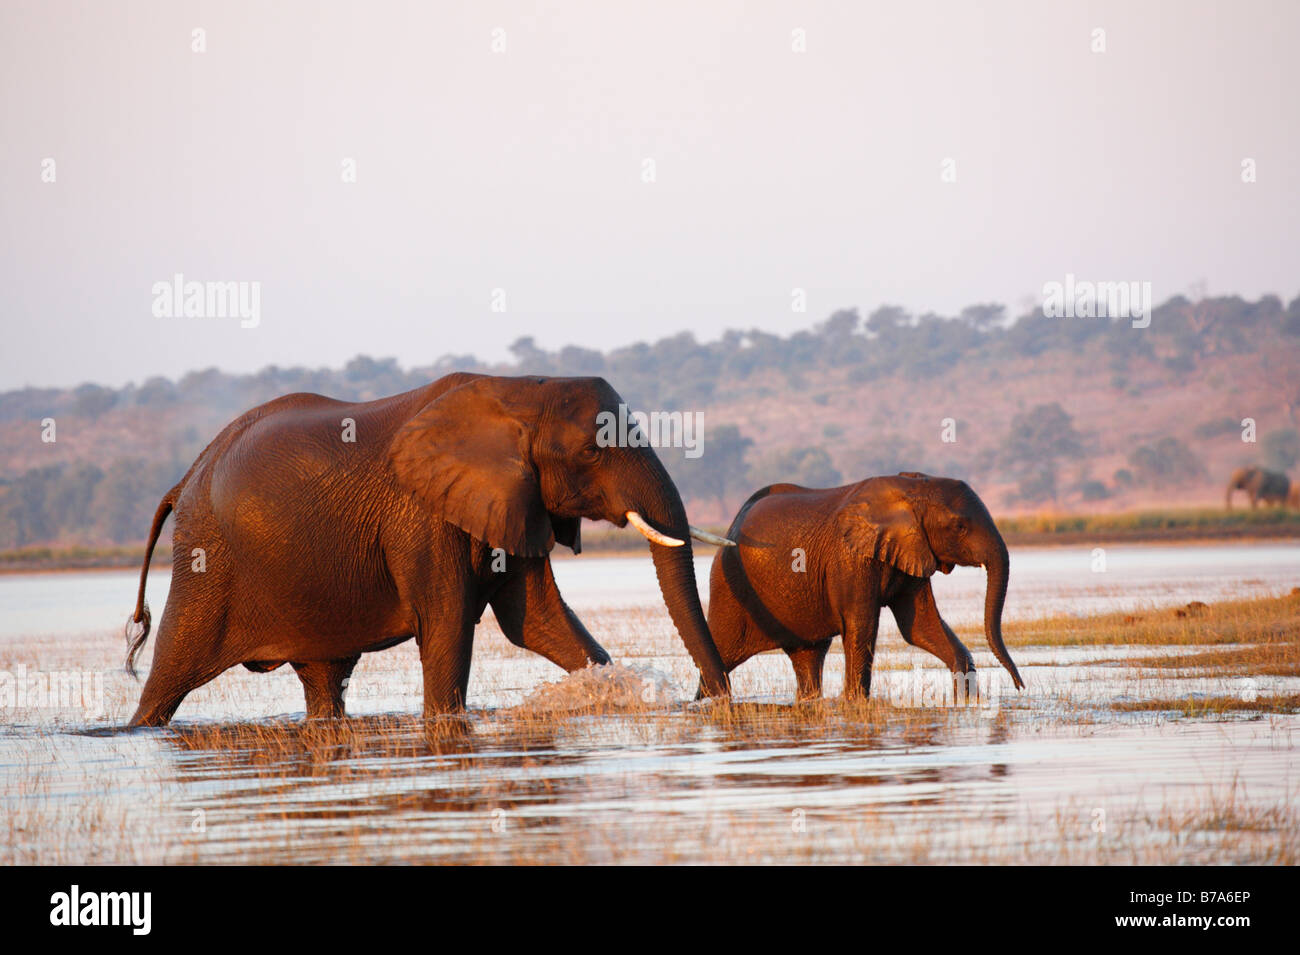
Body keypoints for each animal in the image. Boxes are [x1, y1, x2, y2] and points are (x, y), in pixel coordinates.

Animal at [123, 373, 733, 726]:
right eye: (590, 451)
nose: (709, 698)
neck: (519, 391)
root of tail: (185, 479)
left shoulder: (512, 501)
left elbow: (536, 620)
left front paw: (610, 687)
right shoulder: (423, 518)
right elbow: (449, 624)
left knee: (324, 681)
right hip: (206, 561)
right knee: (169, 676)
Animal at [700, 472, 1024, 702]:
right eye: (959, 527)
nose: (1020, 685)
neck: (912, 488)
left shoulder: (911, 550)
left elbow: (919, 627)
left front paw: (966, 701)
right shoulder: (851, 558)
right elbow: (863, 625)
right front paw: (855, 702)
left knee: (808, 660)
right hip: (728, 588)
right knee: (720, 657)